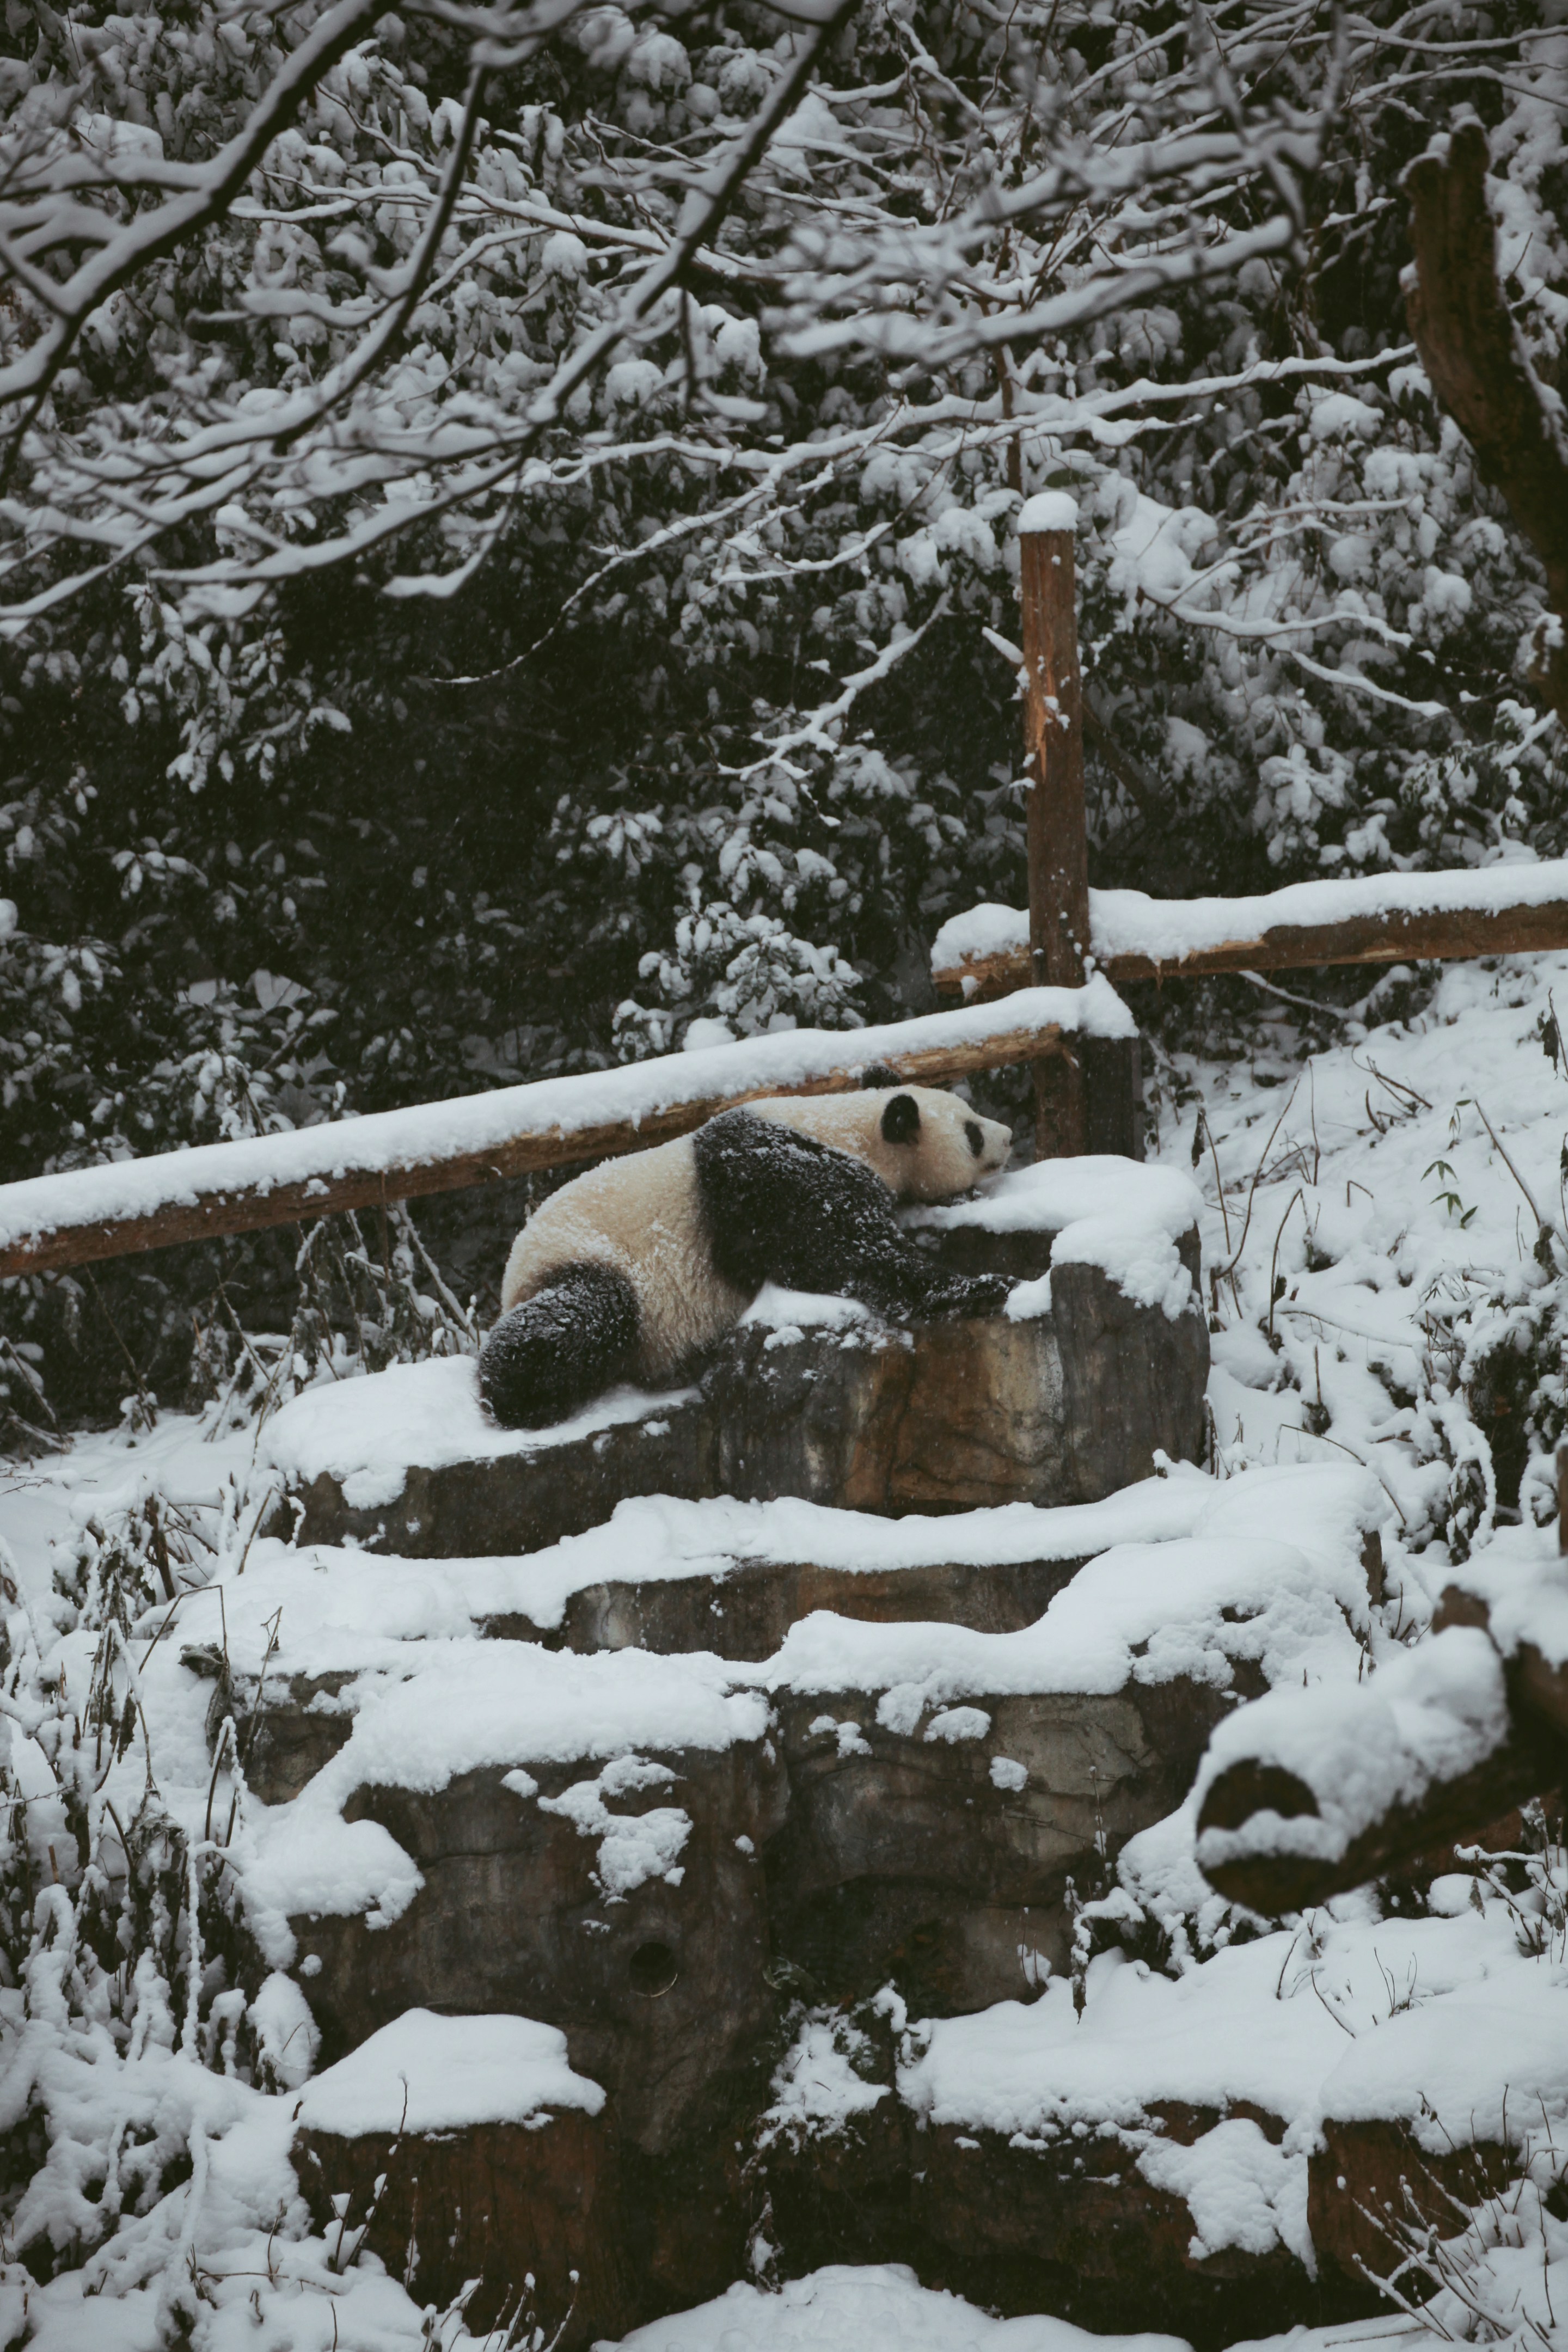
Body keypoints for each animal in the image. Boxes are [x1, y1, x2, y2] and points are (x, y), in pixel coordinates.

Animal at [478, 1070, 1014, 1429]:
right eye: (972, 1131)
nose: (1009, 1137)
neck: (846, 1128)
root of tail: (511, 1271)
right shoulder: (774, 1179)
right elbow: (846, 1252)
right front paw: (984, 1287)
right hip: (585, 1257)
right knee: (581, 1317)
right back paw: (515, 1396)